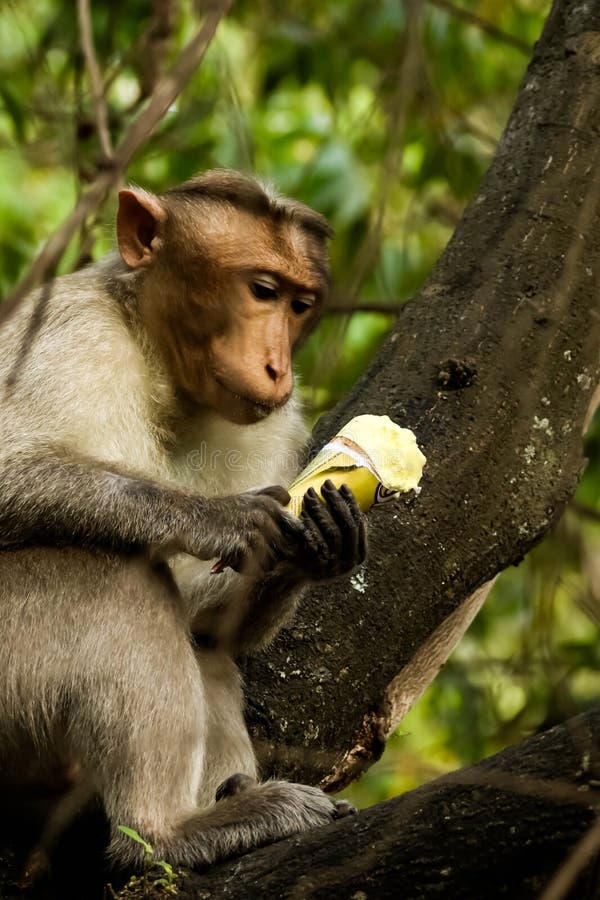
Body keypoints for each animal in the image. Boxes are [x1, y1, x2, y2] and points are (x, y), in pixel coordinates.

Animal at [0, 169, 367, 875]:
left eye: (300, 305)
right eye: (262, 291)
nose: (278, 368)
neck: (158, 361)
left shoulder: (272, 423)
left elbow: (211, 623)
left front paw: (314, 546)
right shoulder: (65, 329)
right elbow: (10, 467)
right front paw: (218, 519)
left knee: (203, 646)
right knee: (114, 577)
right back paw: (164, 831)